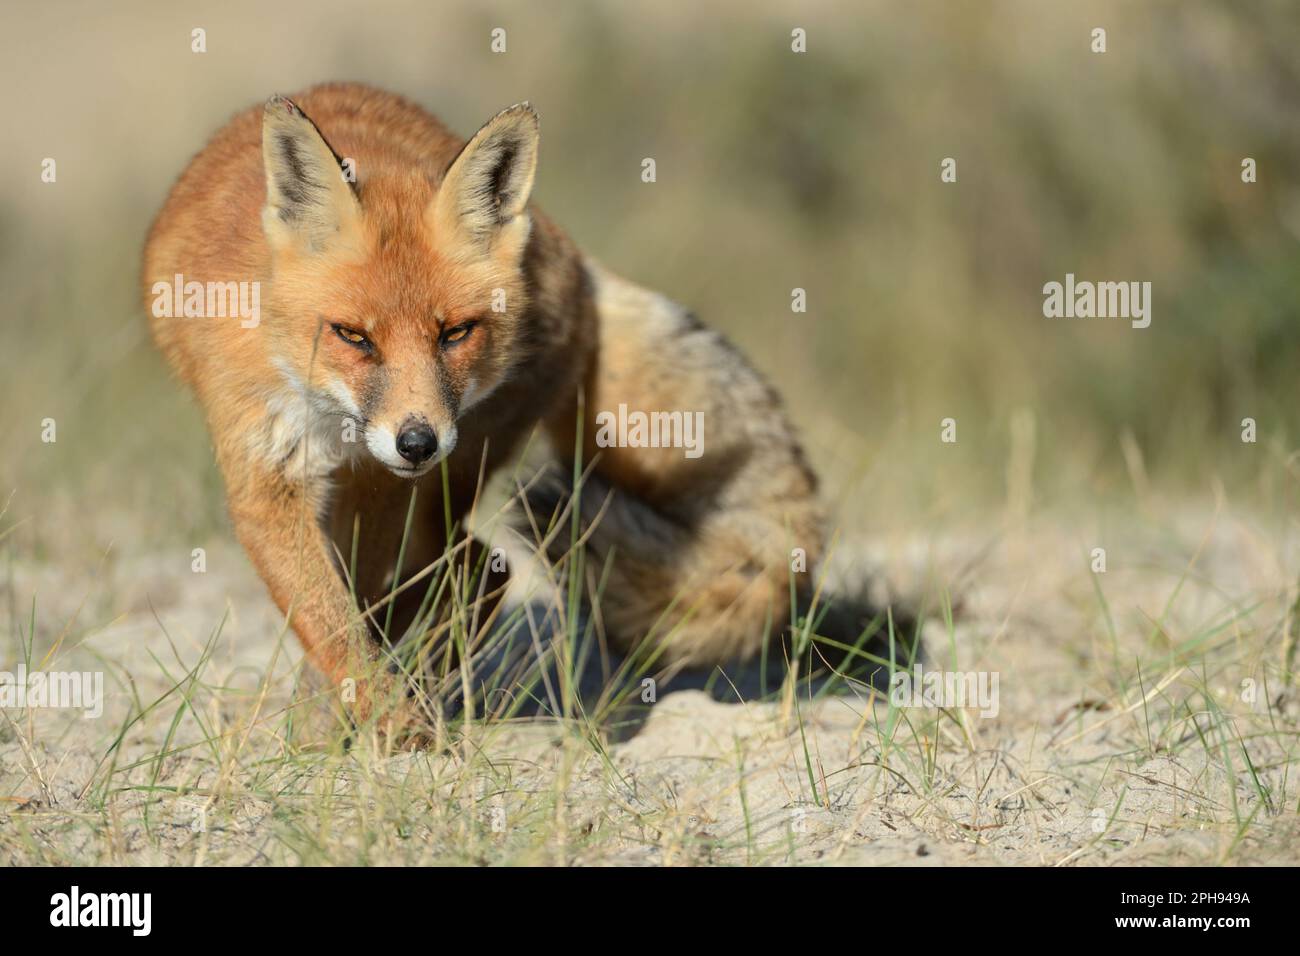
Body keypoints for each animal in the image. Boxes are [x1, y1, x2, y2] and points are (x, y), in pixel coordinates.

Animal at [139, 83, 894, 738]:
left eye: (454, 333)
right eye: (353, 336)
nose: (416, 441)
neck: (328, 416)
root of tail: (574, 261)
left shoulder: (377, 481)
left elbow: (353, 612)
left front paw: (378, 727)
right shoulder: (268, 474)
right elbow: (333, 620)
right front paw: (367, 717)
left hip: (455, 473)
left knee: (482, 568)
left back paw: (418, 682)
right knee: (465, 571)